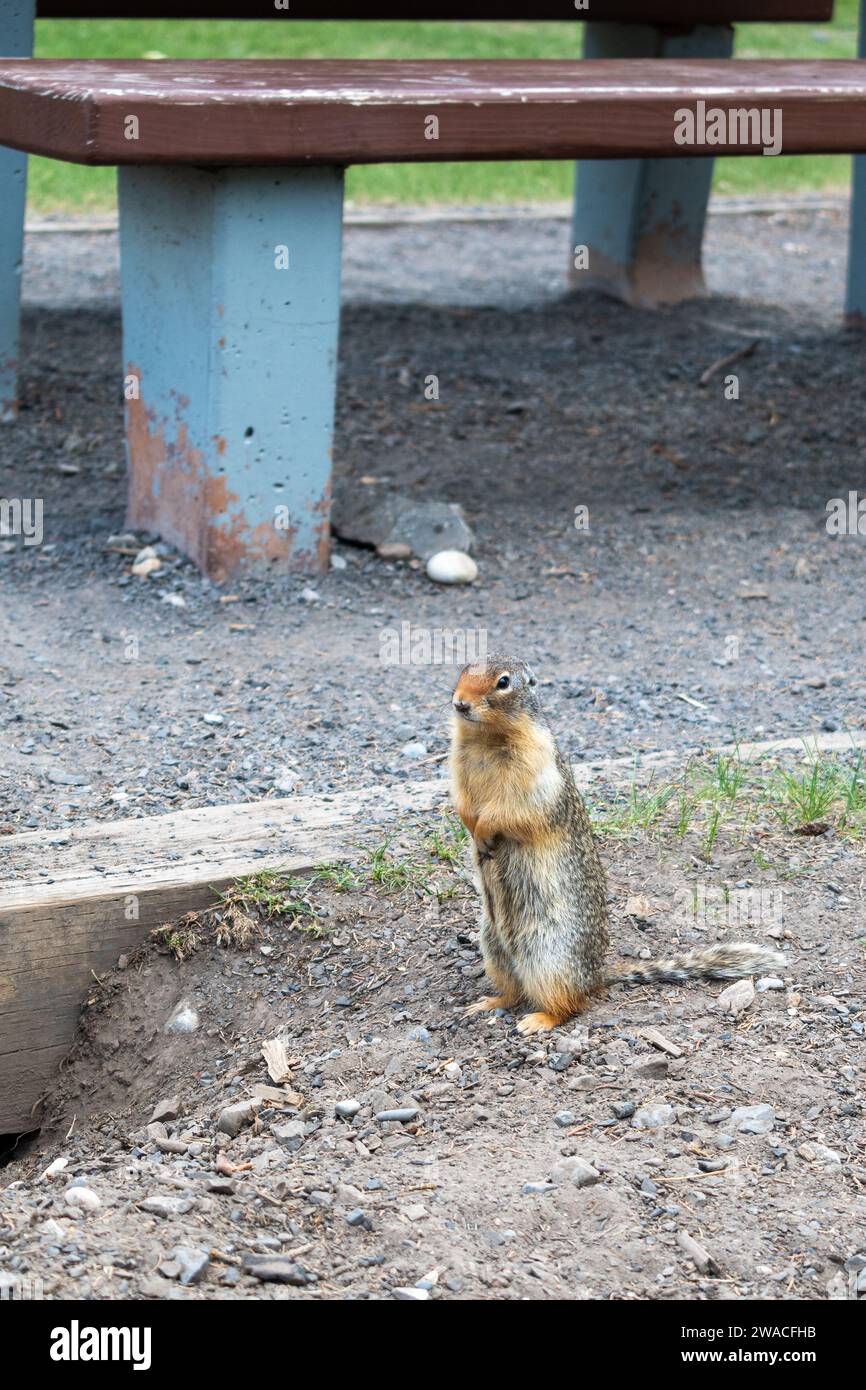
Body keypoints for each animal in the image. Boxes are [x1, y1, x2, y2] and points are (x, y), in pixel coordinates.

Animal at [449, 654, 786, 1036]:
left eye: (503, 682)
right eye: (463, 670)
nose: (460, 703)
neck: (485, 739)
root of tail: (596, 976)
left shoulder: (534, 770)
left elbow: (511, 810)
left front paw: (484, 829)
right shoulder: (458, 766)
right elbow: (462, 802)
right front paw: (471, 827)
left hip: (550, 957)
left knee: (569, 1004)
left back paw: (537, 1020)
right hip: (493, 948)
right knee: (513, 991)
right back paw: (486, 1003)